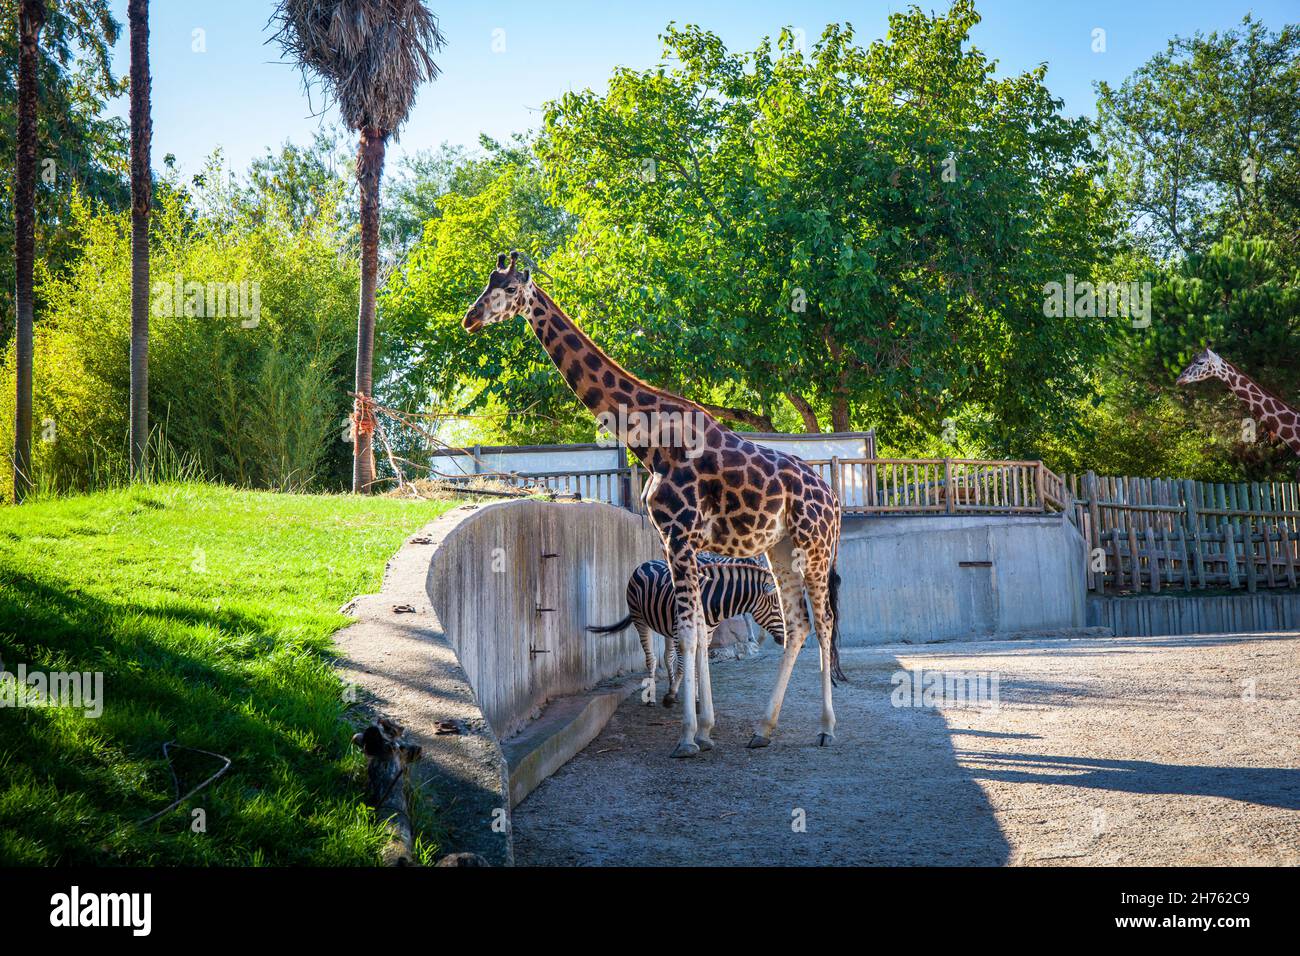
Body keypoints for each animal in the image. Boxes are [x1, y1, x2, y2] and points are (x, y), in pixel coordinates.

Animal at [463, 252, 847, 757]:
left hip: (814, 547)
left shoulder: (680, 536)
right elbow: (696, 629)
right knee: (798, 623)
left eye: (507, 290)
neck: (650, 442)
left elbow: (687, 632)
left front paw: (687, 737)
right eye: (487, 283)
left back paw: (826, 728)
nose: (470, 318)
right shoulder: (673, 540)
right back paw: (763, 730)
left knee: (823, 622)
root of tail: (835, 499)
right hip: (780, 548)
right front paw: (704, 729)